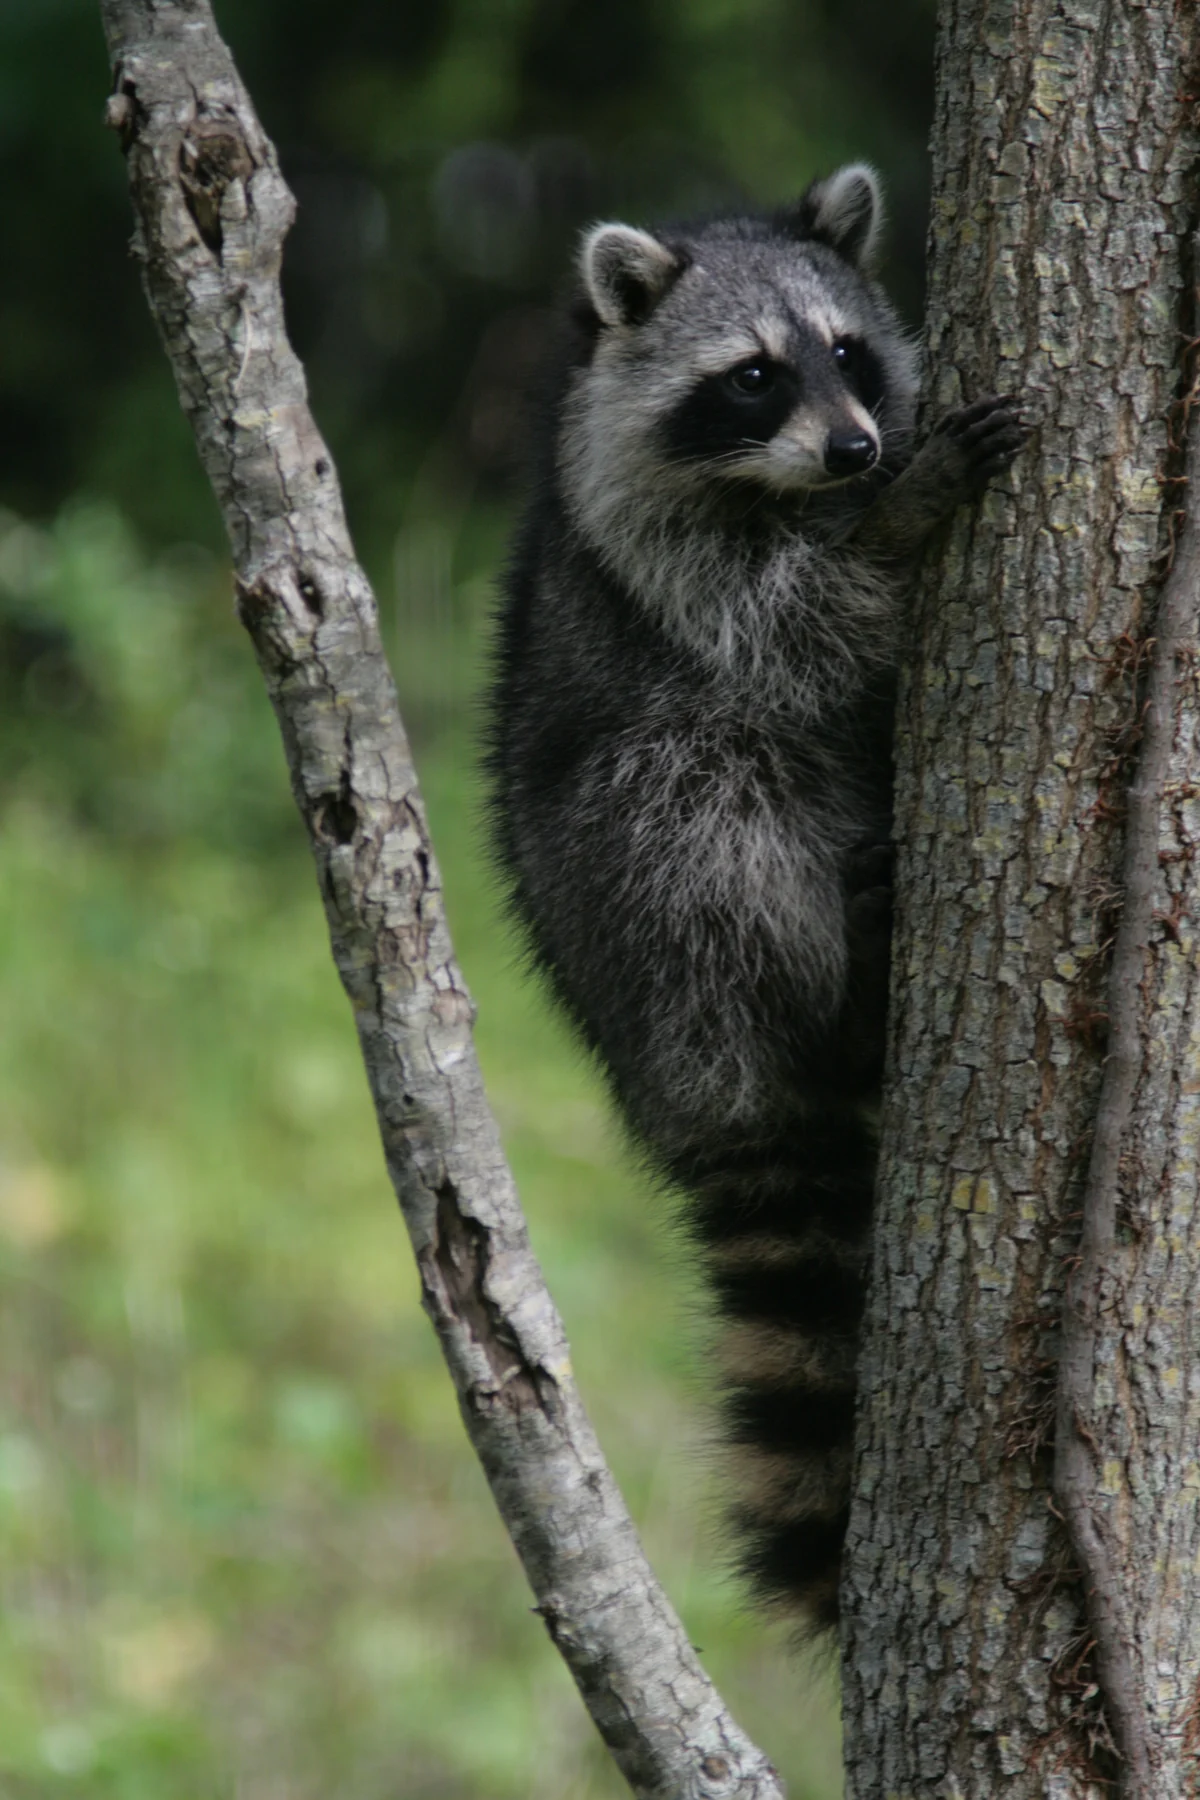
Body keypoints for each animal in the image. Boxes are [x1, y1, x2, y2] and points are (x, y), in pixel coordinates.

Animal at [487, 164, 1024, 1626]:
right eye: (751, 377)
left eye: (848, 354)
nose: (855, 454)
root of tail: (679, 1081)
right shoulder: (665, 554)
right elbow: (799, 628)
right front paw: (903, 520)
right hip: (632, 893)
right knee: (704, 803)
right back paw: (835, 997)